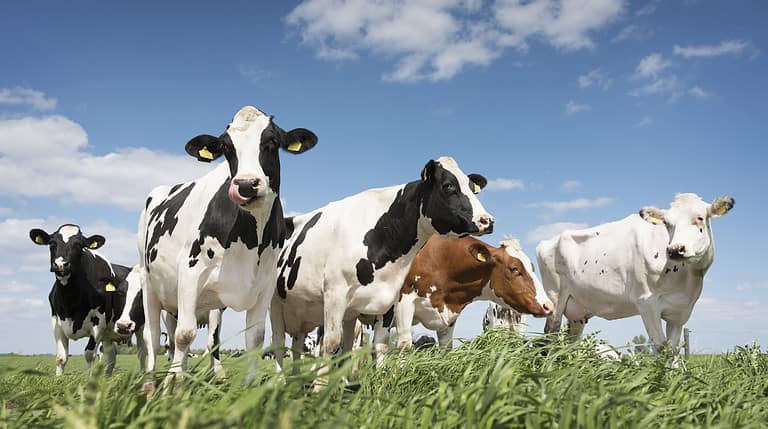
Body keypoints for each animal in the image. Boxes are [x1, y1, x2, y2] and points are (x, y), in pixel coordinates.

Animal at [29, 224, 146, 376]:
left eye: (79, 245)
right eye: (52, 243)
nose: (60, 264)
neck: (71, 300)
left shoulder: (98, 324)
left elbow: (89, 355)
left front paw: (88, 380)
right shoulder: (56, 323)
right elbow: (61, 358)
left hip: (140, 326)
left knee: (141, 352)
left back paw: (143, 375)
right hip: (109, 335)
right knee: (111, 357)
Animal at [134, 105, 318, 379]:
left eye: (272, 142)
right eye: (227, 147)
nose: (246, 184)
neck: (249, 241)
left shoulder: (265, 284)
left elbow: (255, 338)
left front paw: (250, 383)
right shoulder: (189, 272)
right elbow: (184, 335)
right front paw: (173, 384)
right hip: (150, 284)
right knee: (154, 336)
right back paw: (152, 379)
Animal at [269, 156, 494, 376]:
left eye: (472, 187)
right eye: (448, 186)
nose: (487, 220)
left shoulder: (387, 301)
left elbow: (380, 346)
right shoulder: (335, 294)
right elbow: (331, 344)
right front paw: (320, 386)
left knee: (308, 345)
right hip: (275, 304)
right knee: (280, 343)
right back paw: (281, 381)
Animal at [394, 236, 552, 350]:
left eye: (533, 268)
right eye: (514, 269)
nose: (548, 306)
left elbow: (446, 349)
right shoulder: (404, 301)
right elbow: (404, 345)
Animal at [537, 193, 734, 358]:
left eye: (700, 218)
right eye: (667, 223)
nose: (675, 249)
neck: (686, 278)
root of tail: (548, 241)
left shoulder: (681, 312)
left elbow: (673, 350)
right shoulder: (646, 302)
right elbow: (660, 347)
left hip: (577, 310)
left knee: (572, 343)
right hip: (554, 299)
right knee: (550, 336)